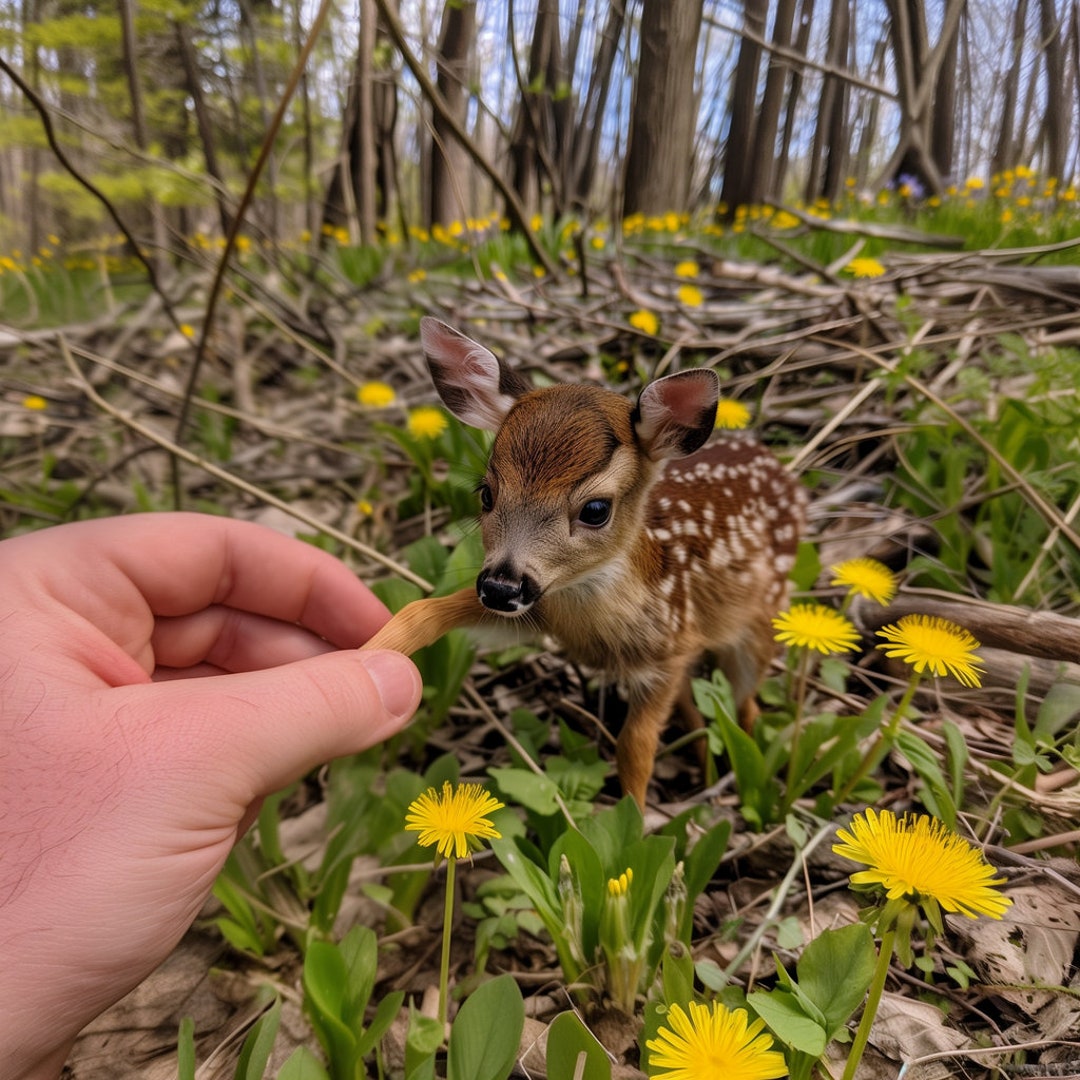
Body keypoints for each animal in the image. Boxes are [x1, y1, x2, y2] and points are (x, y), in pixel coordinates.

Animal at [363, 318, 807, 808]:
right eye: (486, 493)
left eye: (595, 509)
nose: (499, 588)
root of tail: (777, 466)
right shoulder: (541, 613)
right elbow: (422, 610)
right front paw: (373, 654)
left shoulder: (666, 651)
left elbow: (634, 748)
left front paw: (636, 816)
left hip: (762, 617)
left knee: (746, 701)